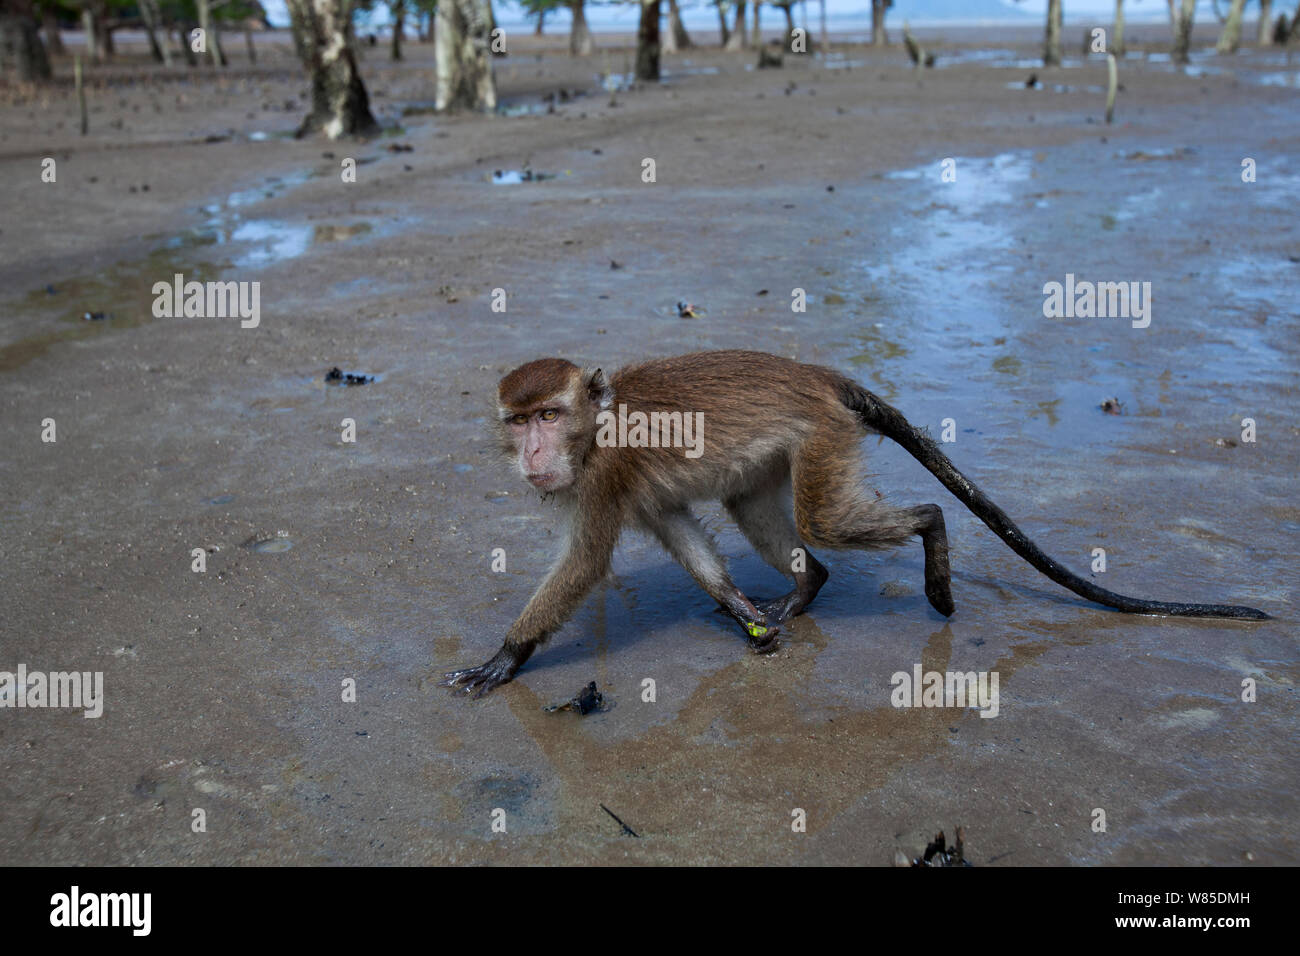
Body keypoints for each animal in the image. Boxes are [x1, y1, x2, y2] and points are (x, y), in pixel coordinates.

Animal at [442, 350, 1268, 698]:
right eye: (519, 421)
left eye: (550, 415)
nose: (534, 453)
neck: (596, 430)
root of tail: (816, 375)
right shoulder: (628, 490)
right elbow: (680, 530)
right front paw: (740, 611)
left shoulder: (603, 476)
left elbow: (583, 564)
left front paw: (505, 657)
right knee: (765, 512)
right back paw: (809, 586)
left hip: (821, 435)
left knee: (830, 519)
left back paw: (932, 534)